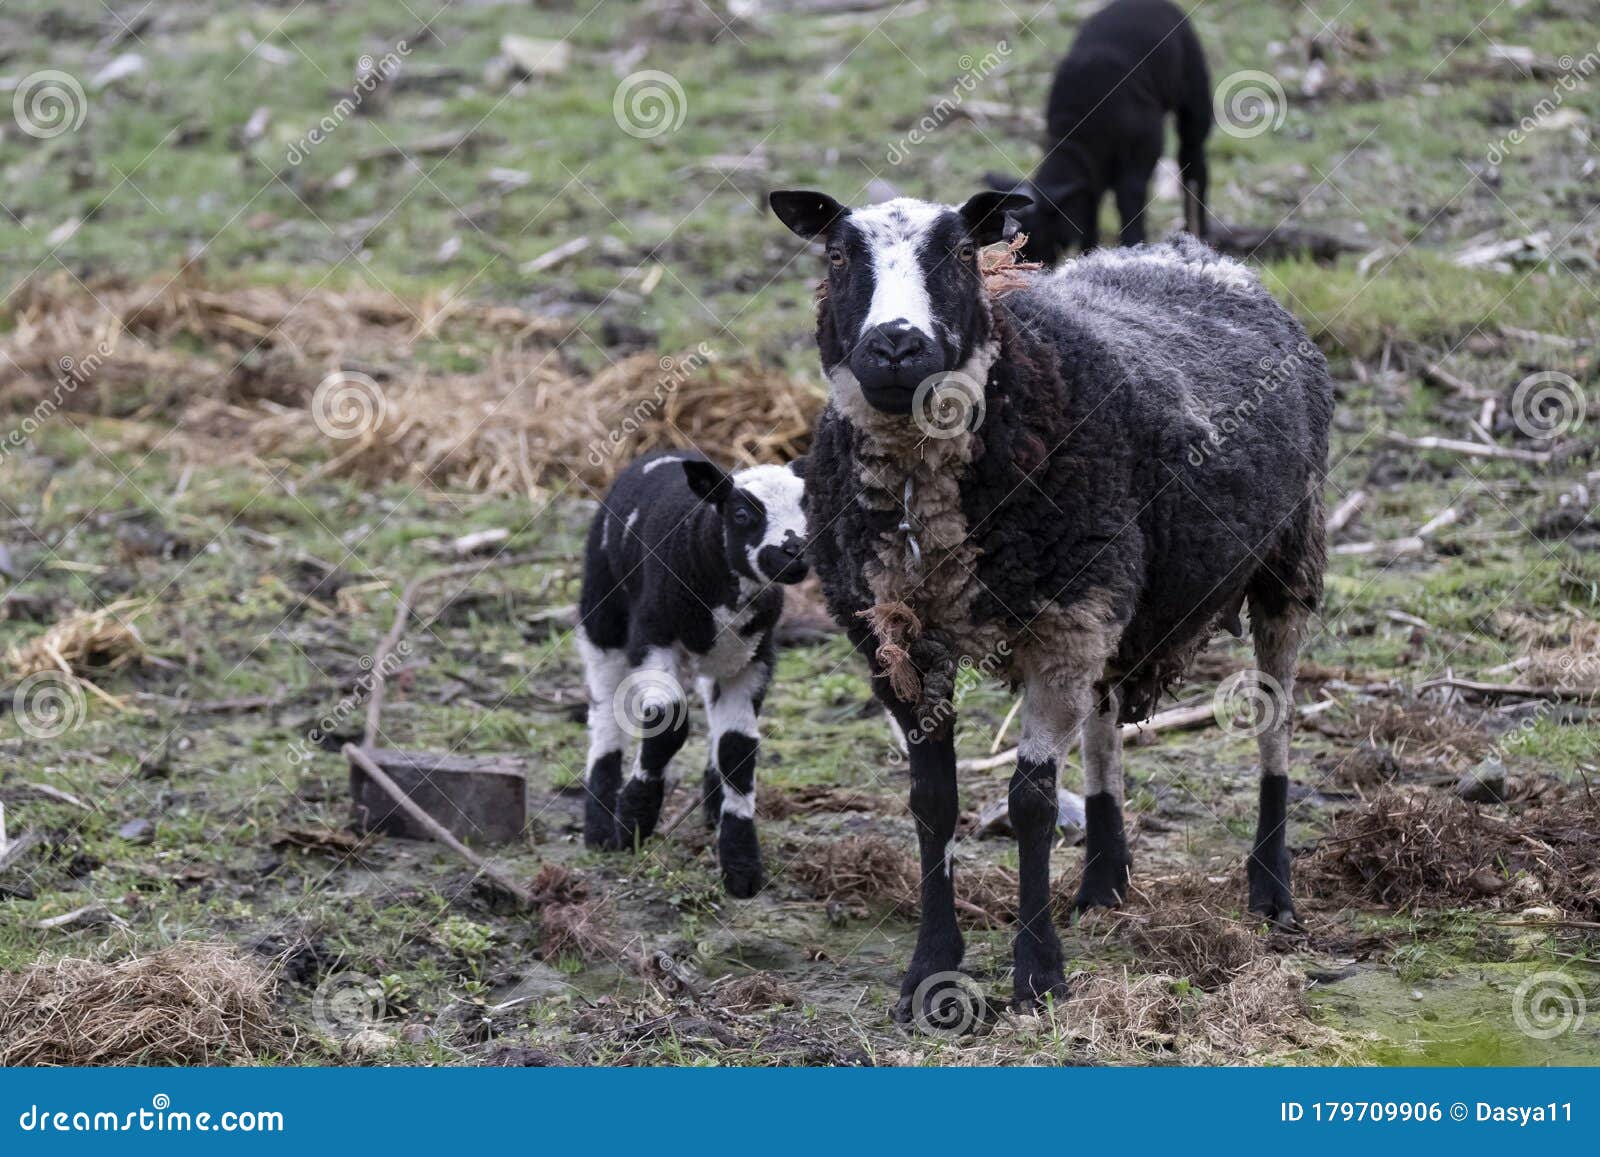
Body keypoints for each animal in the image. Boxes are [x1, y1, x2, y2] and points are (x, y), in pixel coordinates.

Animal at [576, 451, 808, 897]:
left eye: (810, 507)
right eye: (741, 514)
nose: (794, 554)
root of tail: (658, 454)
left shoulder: (753, 659)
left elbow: (737, 748)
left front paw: (741, 865)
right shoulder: (653, 636)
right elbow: (667, 727)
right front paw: (633, 819)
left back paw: (712, 805)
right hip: (603, 610)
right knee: (604, 708)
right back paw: (598, 823)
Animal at [768, 187, 1330, 1024]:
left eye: (960, 253)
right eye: (838, 255)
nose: (896, 346)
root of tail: (1186, 252)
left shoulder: (1066, 618)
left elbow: (1030, 802)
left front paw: (1038, 973)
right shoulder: (898, 639)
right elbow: (932, 800)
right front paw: (931, 969)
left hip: (1288, 554)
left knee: (1275, 719)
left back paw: (1271, 888)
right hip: (1112, 598)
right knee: (1102, 725)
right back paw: (1103, 878)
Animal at [983, 0, 1213, 262]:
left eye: (1041, 236)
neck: (1079, 141)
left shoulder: (1140, 153)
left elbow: (1129, 202)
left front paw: (1133, 248)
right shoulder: (1089, 179)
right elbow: (1088, 218)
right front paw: (1089, 255)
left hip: (1194, 89)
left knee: (1193, 157)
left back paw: (1197, 228)